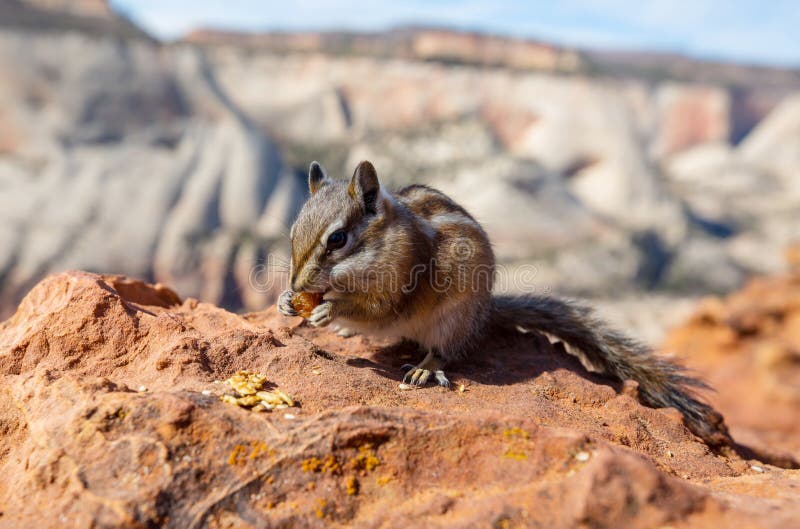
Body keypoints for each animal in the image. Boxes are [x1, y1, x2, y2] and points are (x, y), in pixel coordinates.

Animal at [277, 160, 730, 446]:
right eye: (293, 232)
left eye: (337, 239)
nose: (297, 283)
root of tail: (485, 313)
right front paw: (287, 302)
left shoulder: (400, 283)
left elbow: (377, 310)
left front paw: (331, 310)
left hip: (453, 319)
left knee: (446, 351)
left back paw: (425, 368)